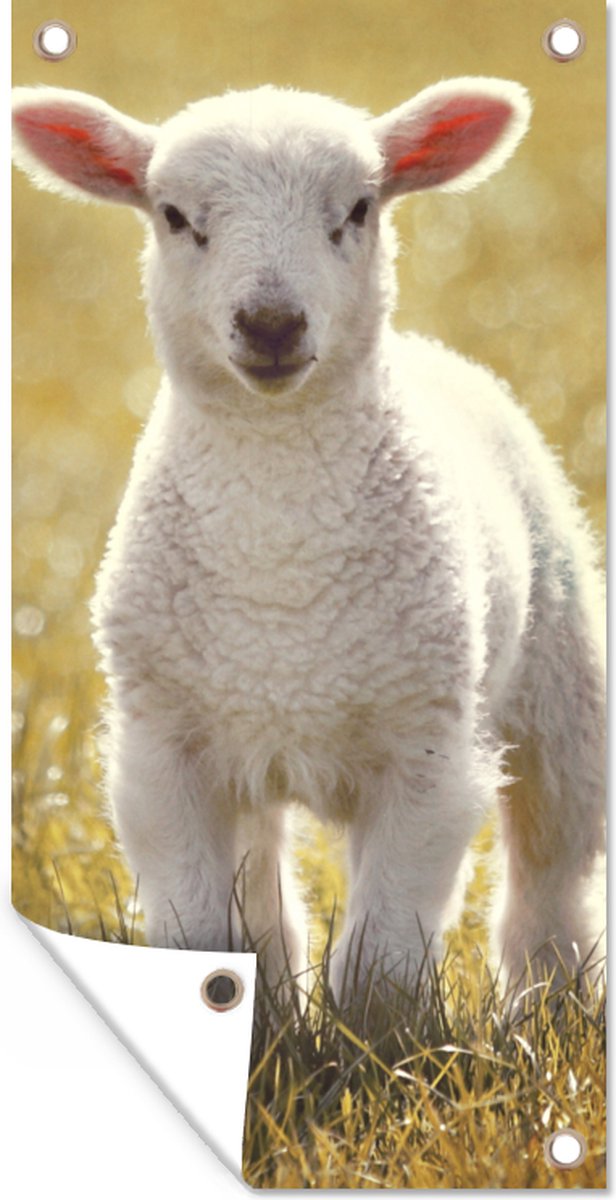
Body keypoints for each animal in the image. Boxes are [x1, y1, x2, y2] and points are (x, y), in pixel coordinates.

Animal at [12, 78, 605, 1011]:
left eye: (358, 209)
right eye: (175, 216)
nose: (270, 323)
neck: (281, 569)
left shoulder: (427, 748)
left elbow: (382, 956)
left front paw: (377, 1035)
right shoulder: (164, 749)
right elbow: (199, 927)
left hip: (559, 682)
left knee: (553, 865)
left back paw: (552, 1000)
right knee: (261, 886)